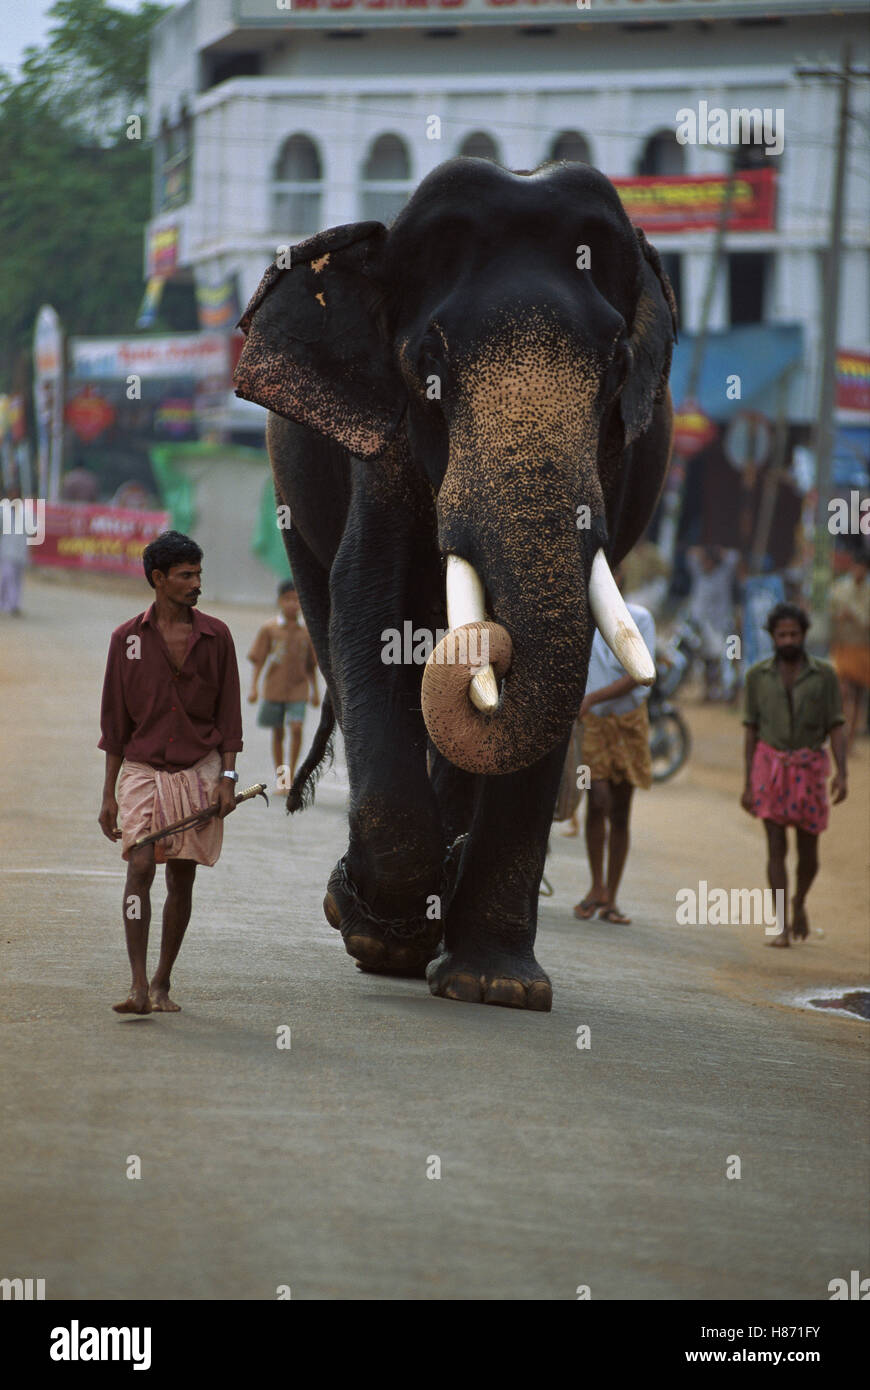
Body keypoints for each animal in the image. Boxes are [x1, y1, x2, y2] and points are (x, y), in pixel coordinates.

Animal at [234, 156, 677, 1011]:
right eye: (429, 370)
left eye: (616, 370)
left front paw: (496, 986)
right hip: (289, 499)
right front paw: (380, 929)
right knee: (330, 616)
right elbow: (370, 612)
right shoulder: (384, 444)